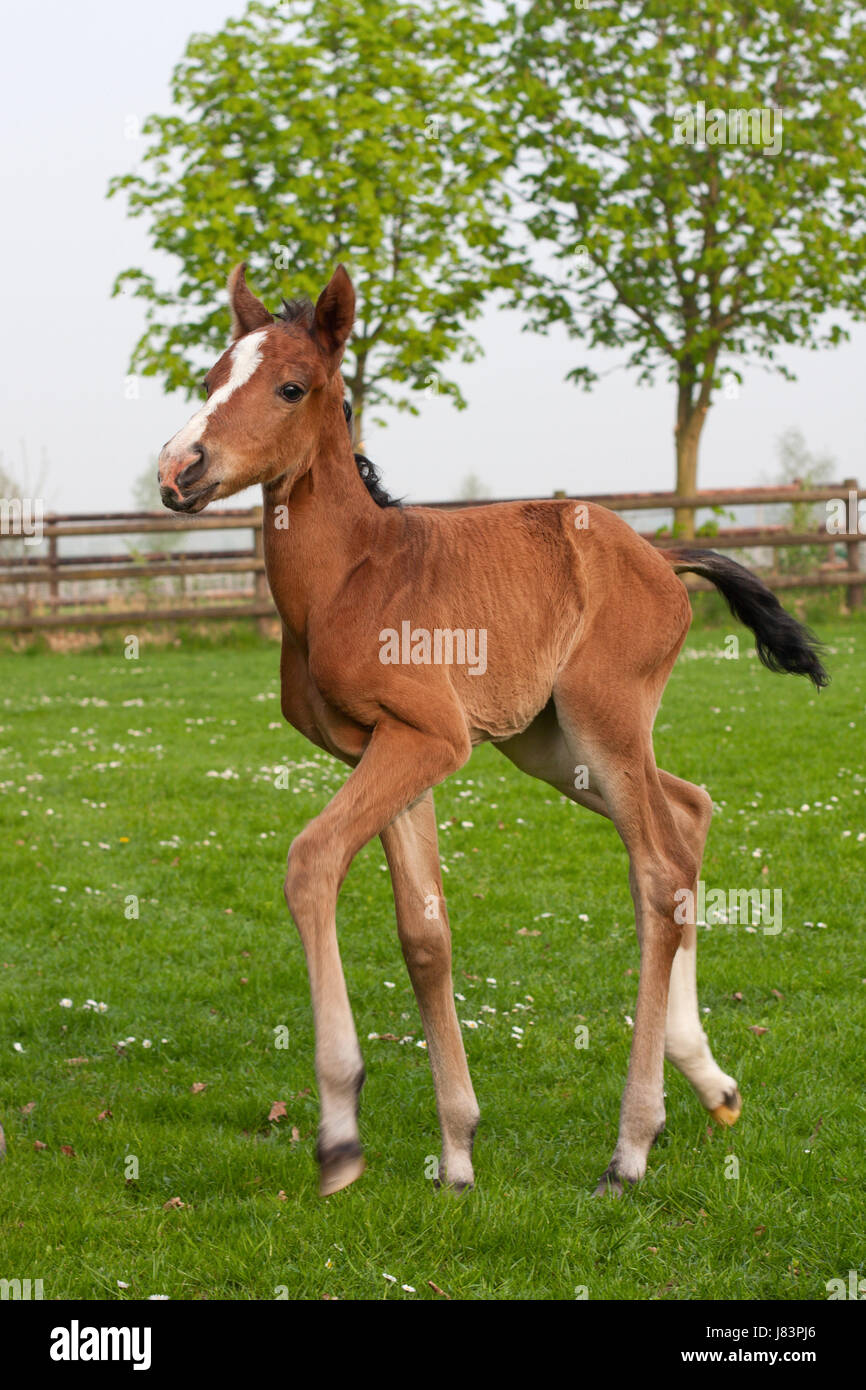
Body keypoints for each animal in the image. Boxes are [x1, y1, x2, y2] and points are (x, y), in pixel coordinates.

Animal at [158, 264, 827, 1197]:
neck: (350, 576)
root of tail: (659, 555)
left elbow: (312, 861)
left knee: (658, 869)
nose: (178, 469)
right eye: (213, 377)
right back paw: (709, 1082)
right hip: (551, 747)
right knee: (688, 816)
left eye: (290, 387)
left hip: (602, 723)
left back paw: (631, 1146)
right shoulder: (388, 750)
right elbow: (424, 936)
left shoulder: (430, 740)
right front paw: (458, 1153)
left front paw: (340, 1132)